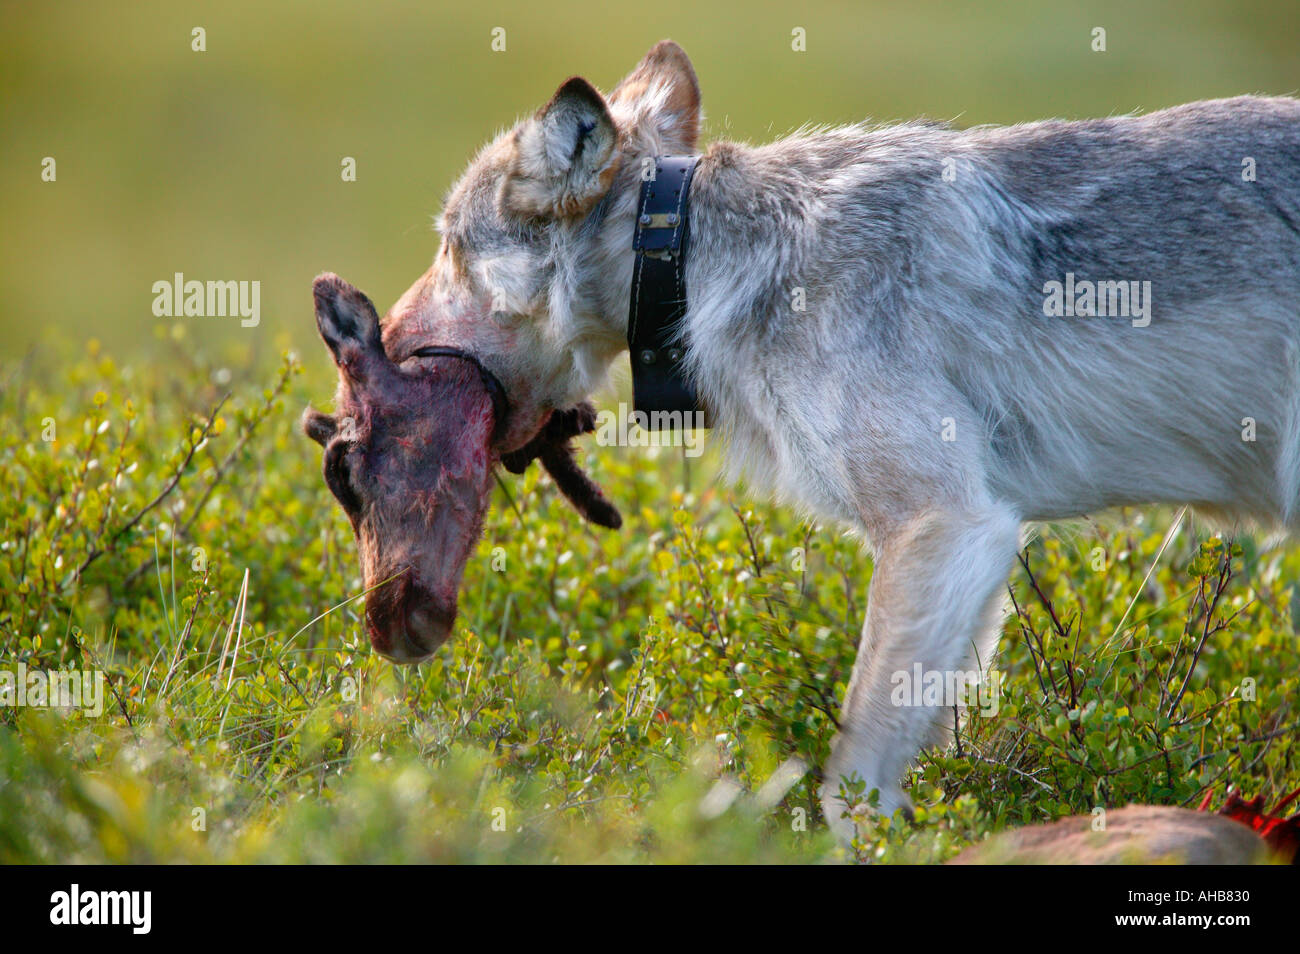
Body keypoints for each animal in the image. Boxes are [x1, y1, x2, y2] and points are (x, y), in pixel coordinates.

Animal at [303, 40, 1300, 840]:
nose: (364, 336)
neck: (696, 259)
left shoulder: (945, 526)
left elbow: (847, 776)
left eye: (449, 246)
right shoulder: (976, 550)